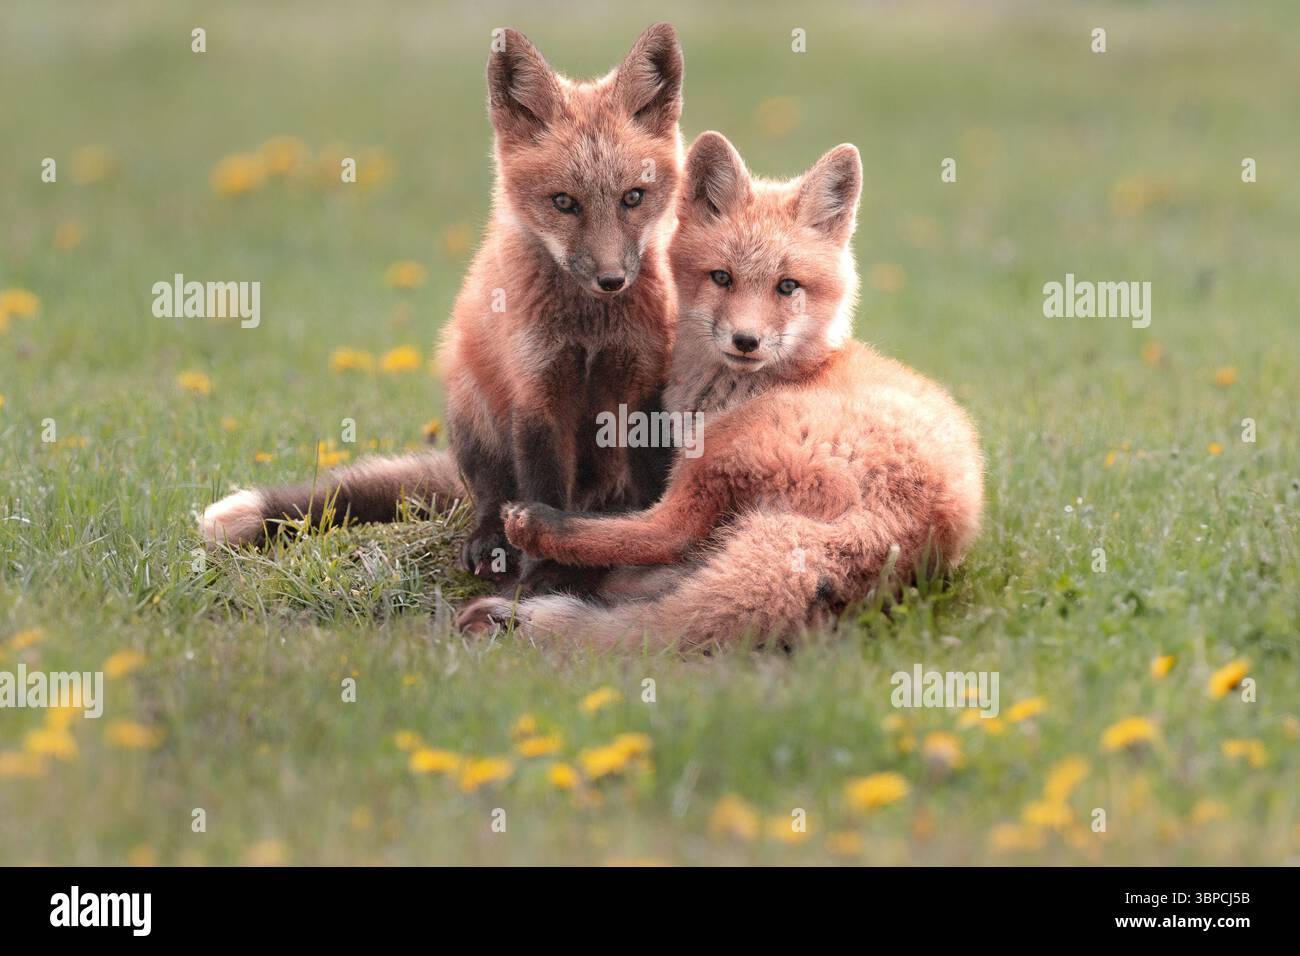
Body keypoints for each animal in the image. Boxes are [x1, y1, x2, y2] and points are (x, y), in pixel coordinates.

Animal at [200, 24, 685, 587]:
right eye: (564, 202)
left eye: (633, 198)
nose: (612, 280)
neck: (591, 331)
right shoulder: (537, 393)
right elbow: (542, 489)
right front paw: (544, 573)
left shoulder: (644, 387)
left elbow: (652, 494)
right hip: (470, 406)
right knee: (490, 497)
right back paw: (489, 541)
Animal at [456, 131, 985, 649]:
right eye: (722, 277)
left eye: (787, 286)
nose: (746, 341)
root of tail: (904, 522)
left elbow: (668, 531)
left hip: (719, 452)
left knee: (670, 533)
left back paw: (538, 530)